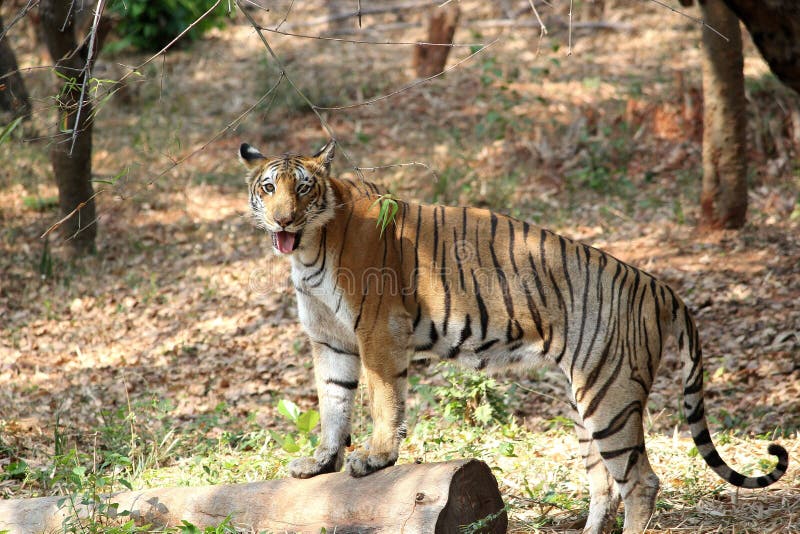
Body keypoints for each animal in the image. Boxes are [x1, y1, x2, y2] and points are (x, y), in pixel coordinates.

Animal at [239, 140, 788, 534]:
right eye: (268, 187)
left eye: (303, 189)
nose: (283, 218)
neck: (308, 248)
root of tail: (659, 285)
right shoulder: (330, 340)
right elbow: (333, 402)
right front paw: (322, 462)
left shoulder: (377, 332)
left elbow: (382, 401)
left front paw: (374, 459)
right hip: (586, 398)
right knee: (603, 483)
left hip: (611, 397)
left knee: (641, 482)